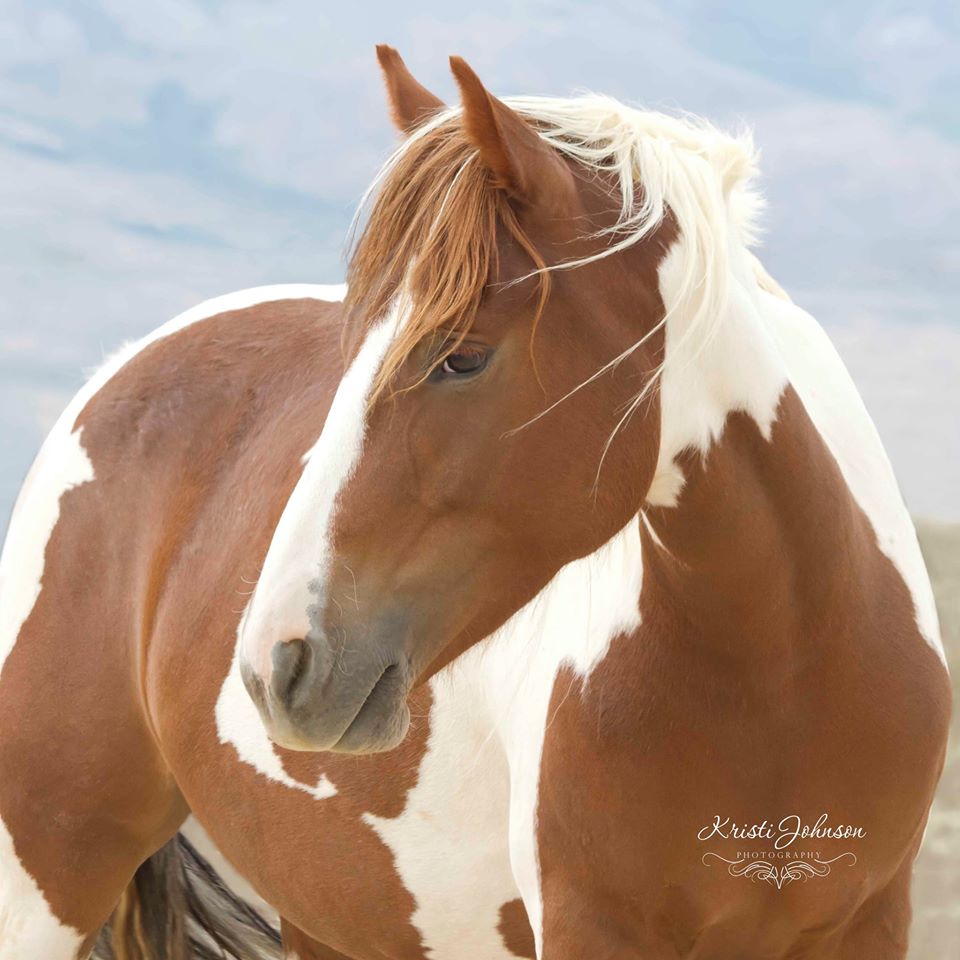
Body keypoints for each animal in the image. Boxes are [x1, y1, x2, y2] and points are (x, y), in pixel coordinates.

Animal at [0, 45, 951, 960]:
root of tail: (120, 367)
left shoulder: (871, 925)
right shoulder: (591, 929)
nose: (277, 665)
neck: (782, 676)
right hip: (46, 877)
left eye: (461, 355)